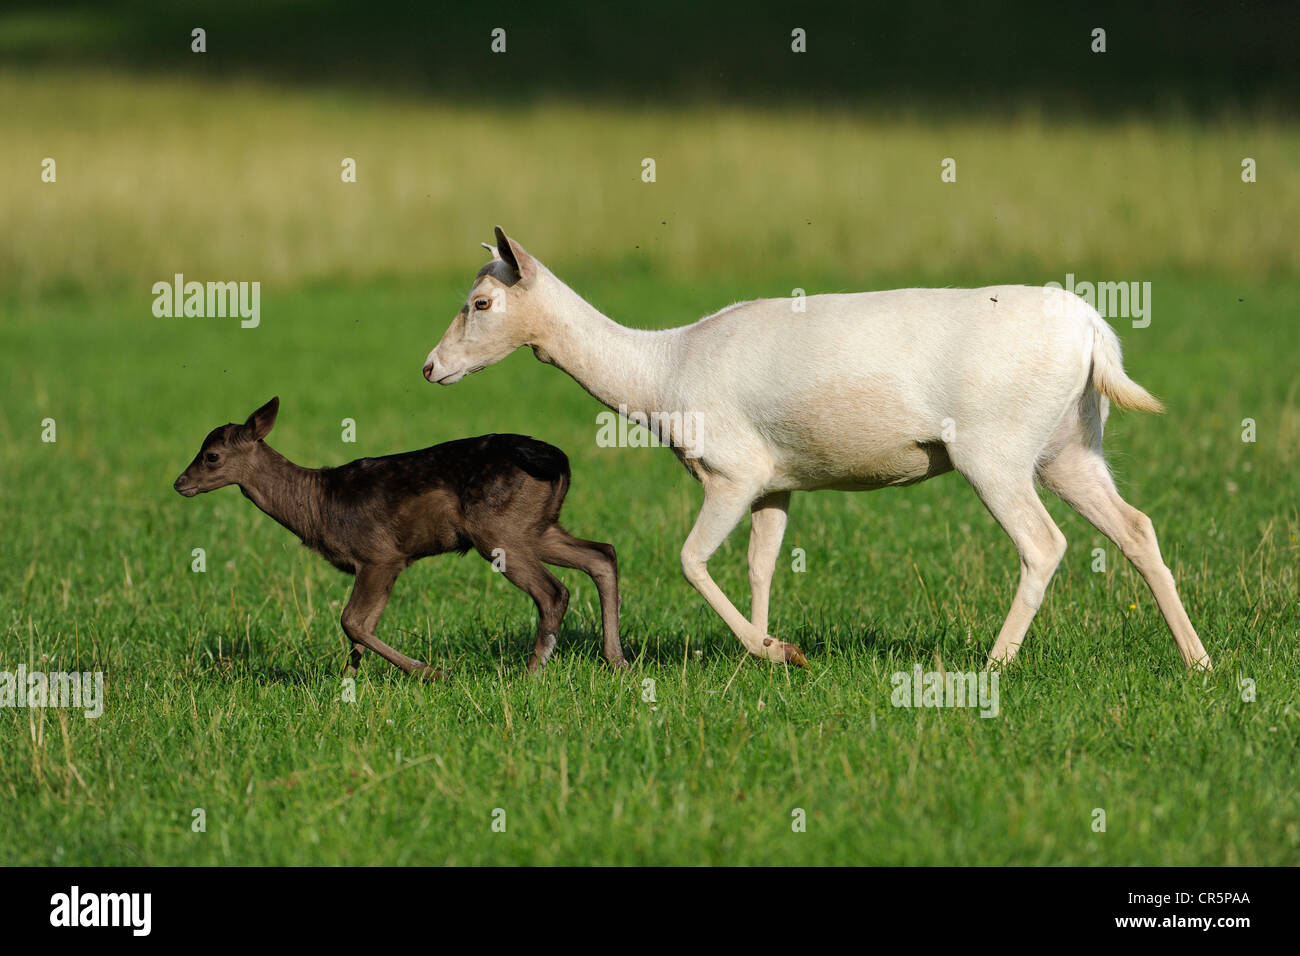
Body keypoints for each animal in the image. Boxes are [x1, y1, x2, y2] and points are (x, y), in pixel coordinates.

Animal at [173, 397, 626, 678]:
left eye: (211, 456)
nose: (180, 483)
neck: (317, 507)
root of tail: (560, 461)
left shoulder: (379, 554)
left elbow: (351, 621)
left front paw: (432, 672)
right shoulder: (387, 564)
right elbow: (361, 627)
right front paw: (347, 683)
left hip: (498, 529)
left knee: (554, 590)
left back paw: (530, 674)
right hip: (539, 526)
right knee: (602, 554)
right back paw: (616, 660)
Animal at [421, 227, 1212, 673]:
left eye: (480, 303)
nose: (430, 368)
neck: (664, 372)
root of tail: (1094, 332)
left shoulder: (731, 470)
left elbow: (690, 559)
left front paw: (778, 651)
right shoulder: (777, 483)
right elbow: (760, 564)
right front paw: (764, 654)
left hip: (997, 452)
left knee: (1044, 544)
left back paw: (995, 664)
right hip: (1071, 447)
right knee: (1137, 527)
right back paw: (1198, 662)